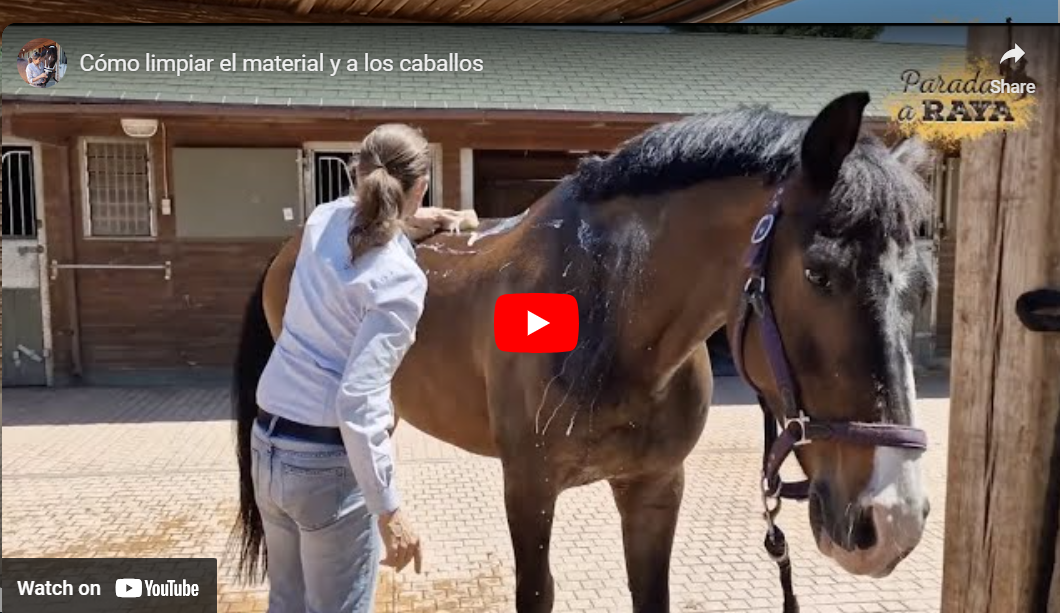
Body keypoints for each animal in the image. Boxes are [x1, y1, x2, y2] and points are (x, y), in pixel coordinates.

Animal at [233, 92, 936, 612]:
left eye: (923, 288)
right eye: (818, 273)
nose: (892, 520)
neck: (607, 314)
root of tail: (292, 247)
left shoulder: (655, 487)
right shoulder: (528, 488)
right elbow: (536, 593)